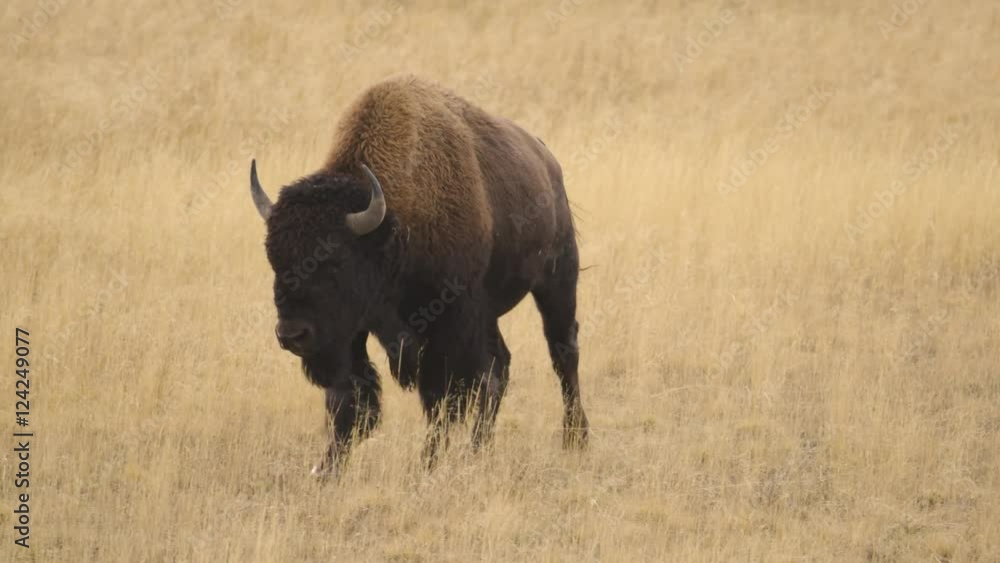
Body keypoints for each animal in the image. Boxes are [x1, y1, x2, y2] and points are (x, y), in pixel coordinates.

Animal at [250, 75, 589, 475]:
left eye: (333, 262)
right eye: (274, 259)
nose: (292, 335)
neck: (392, 226)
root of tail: (548, 162)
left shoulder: (447, 325)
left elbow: (440, 398)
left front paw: (426, 463)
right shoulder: (352, 332)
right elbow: (350, 401)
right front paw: (327, 469)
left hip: (557, 281)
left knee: (562, 354)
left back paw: (575, 438)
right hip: (489, 314)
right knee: (499, 369)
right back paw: (479, 448)